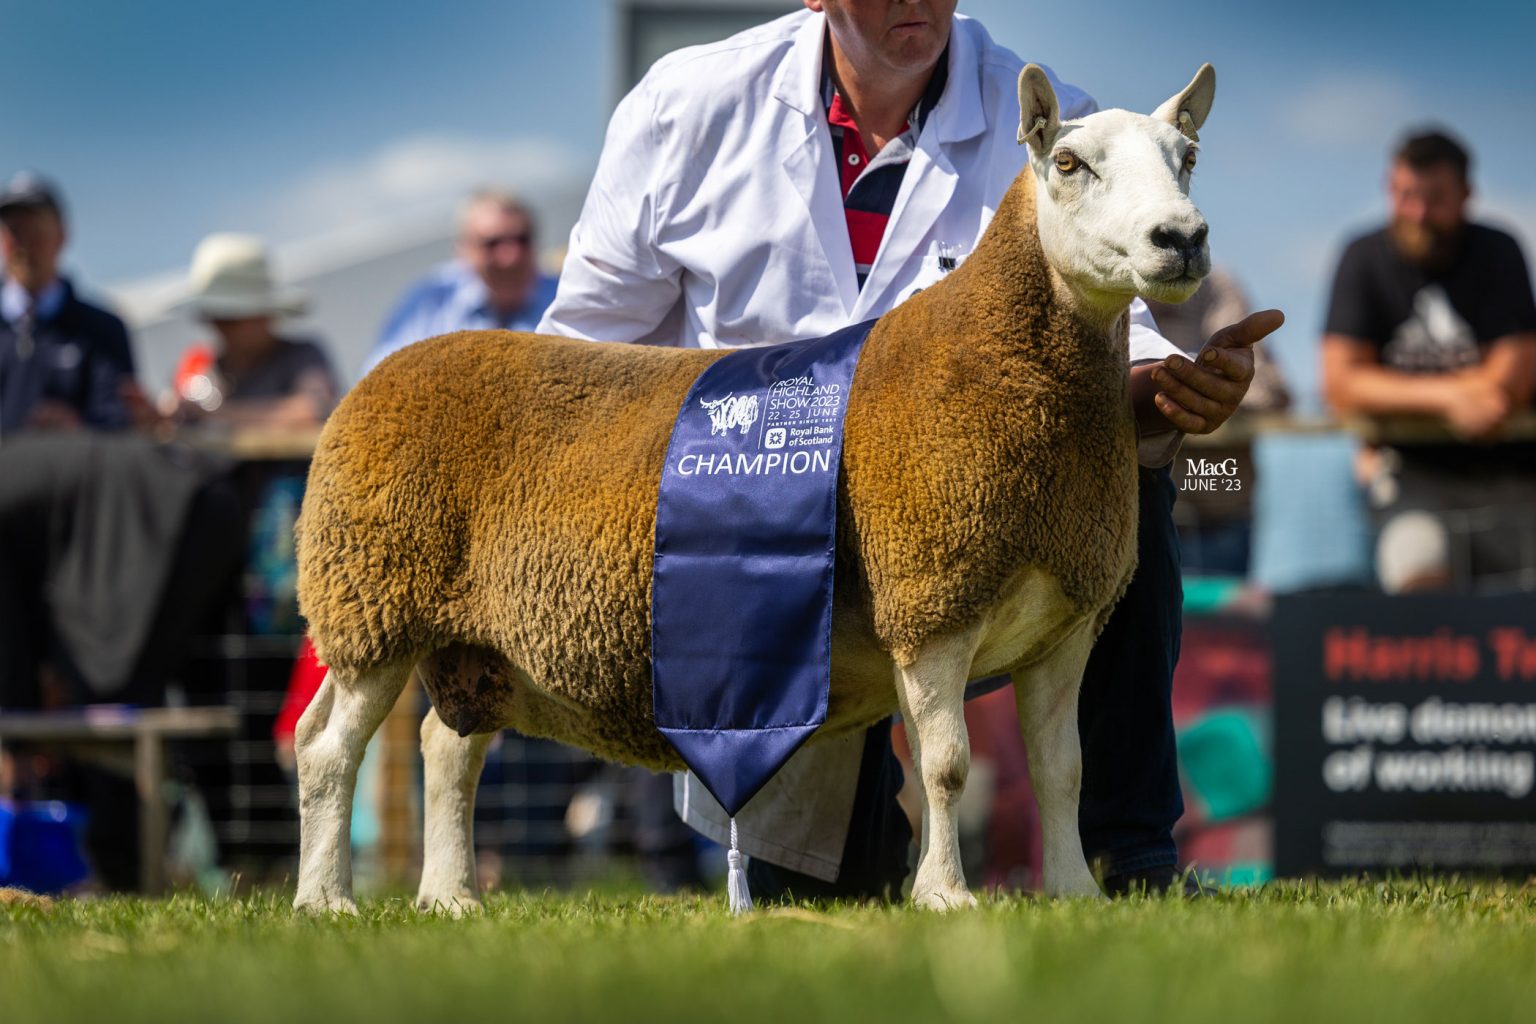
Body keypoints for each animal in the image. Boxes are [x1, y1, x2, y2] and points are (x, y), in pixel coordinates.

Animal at [292, 63, 1218, 915]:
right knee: (326, 750)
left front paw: (1075, 897)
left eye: (1188, 157)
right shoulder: (930, 597)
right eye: (1068, 162)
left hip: (470, 635)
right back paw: (325, 901)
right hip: (370, 595)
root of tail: (385, 374)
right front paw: (948, 897)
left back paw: (450, 898)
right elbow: (948, 766)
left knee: (446, 750)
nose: (1181, 238)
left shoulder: (1067, 617)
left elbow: (1064, 771)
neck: (1013, 374)